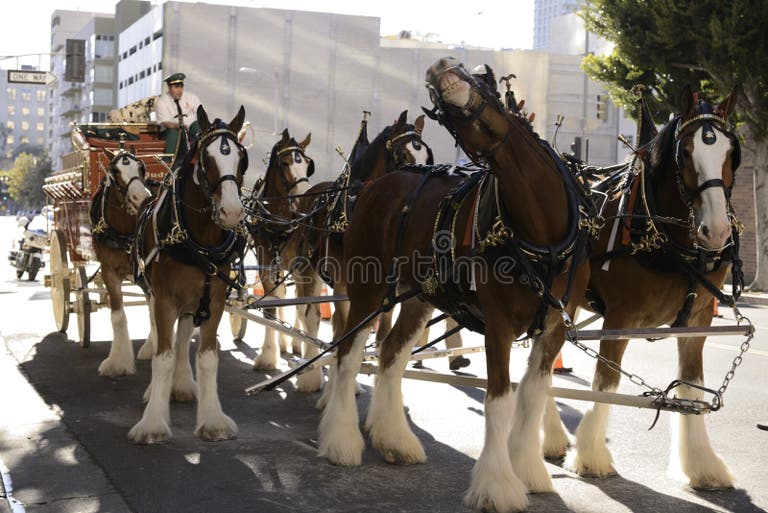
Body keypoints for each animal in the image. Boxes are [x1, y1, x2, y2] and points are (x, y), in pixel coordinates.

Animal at [90, 149, 154, 377]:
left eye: (141, 167)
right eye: (116, 171)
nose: (141, 197)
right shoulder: (109, 271)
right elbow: (117, 315)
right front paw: (117, 362)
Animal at [128, 105, 248, 443]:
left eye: (242, 157)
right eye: (206, 159)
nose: (232, 212)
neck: (199, 243)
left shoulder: (215, 302)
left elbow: (207, 358)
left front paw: (212, 420)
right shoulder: (164, 299)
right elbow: (163, 356)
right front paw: (153, 422)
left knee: (182, 338)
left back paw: (181, 384)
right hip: (154, 294)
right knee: (161, 339)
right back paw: (156, 390)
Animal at [317, 57, 593, 513]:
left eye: (486, 78)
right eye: (440, 111)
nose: (440, 66)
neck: (542, 233)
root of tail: (375, 186)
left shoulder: (555, 325)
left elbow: (533, 396)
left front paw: (528, 471)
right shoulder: (498, 325)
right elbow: (499, 401)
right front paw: (497, 485)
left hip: (418, 298)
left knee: (390, 355)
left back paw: (395, 440)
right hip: (366, 291)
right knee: (347, 355)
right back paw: (341, 441)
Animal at [541, 87, 741, 490]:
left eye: (731, 151)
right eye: (685, 152)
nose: (716, 232)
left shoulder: (698, 320)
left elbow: (691, 385)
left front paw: (701, 464)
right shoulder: (620, 317)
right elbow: (606, 381)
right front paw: (590, 456)